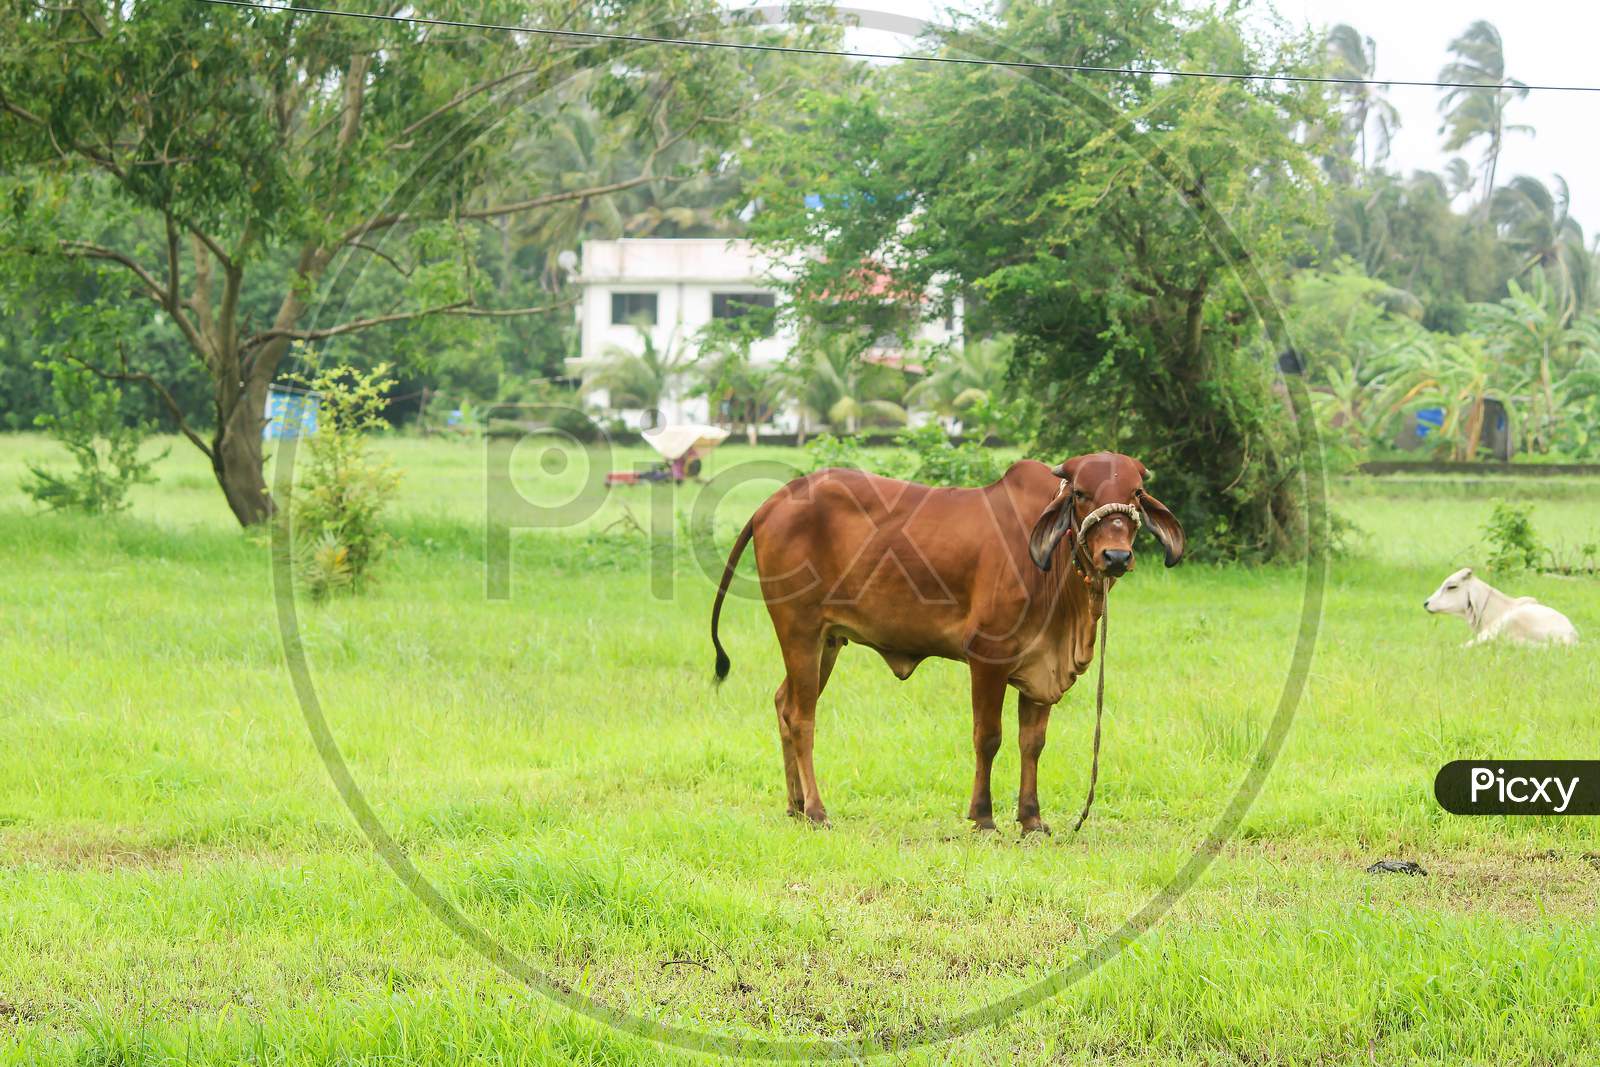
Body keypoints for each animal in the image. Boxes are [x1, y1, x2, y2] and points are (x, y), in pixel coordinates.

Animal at [709, 452, 1184, 833]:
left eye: (1137, 492)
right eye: (1082, 493)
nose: (1116, 556)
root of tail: (775, 500)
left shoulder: (1040, 669)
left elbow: (1032, 743)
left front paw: (1031, 819)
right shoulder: (988, 657)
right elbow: (988, 737)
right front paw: (984, 816)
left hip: (826, 641)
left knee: (783, 703)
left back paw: (795, 805)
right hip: (800, 631)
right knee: (803, 718)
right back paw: (817, 811)